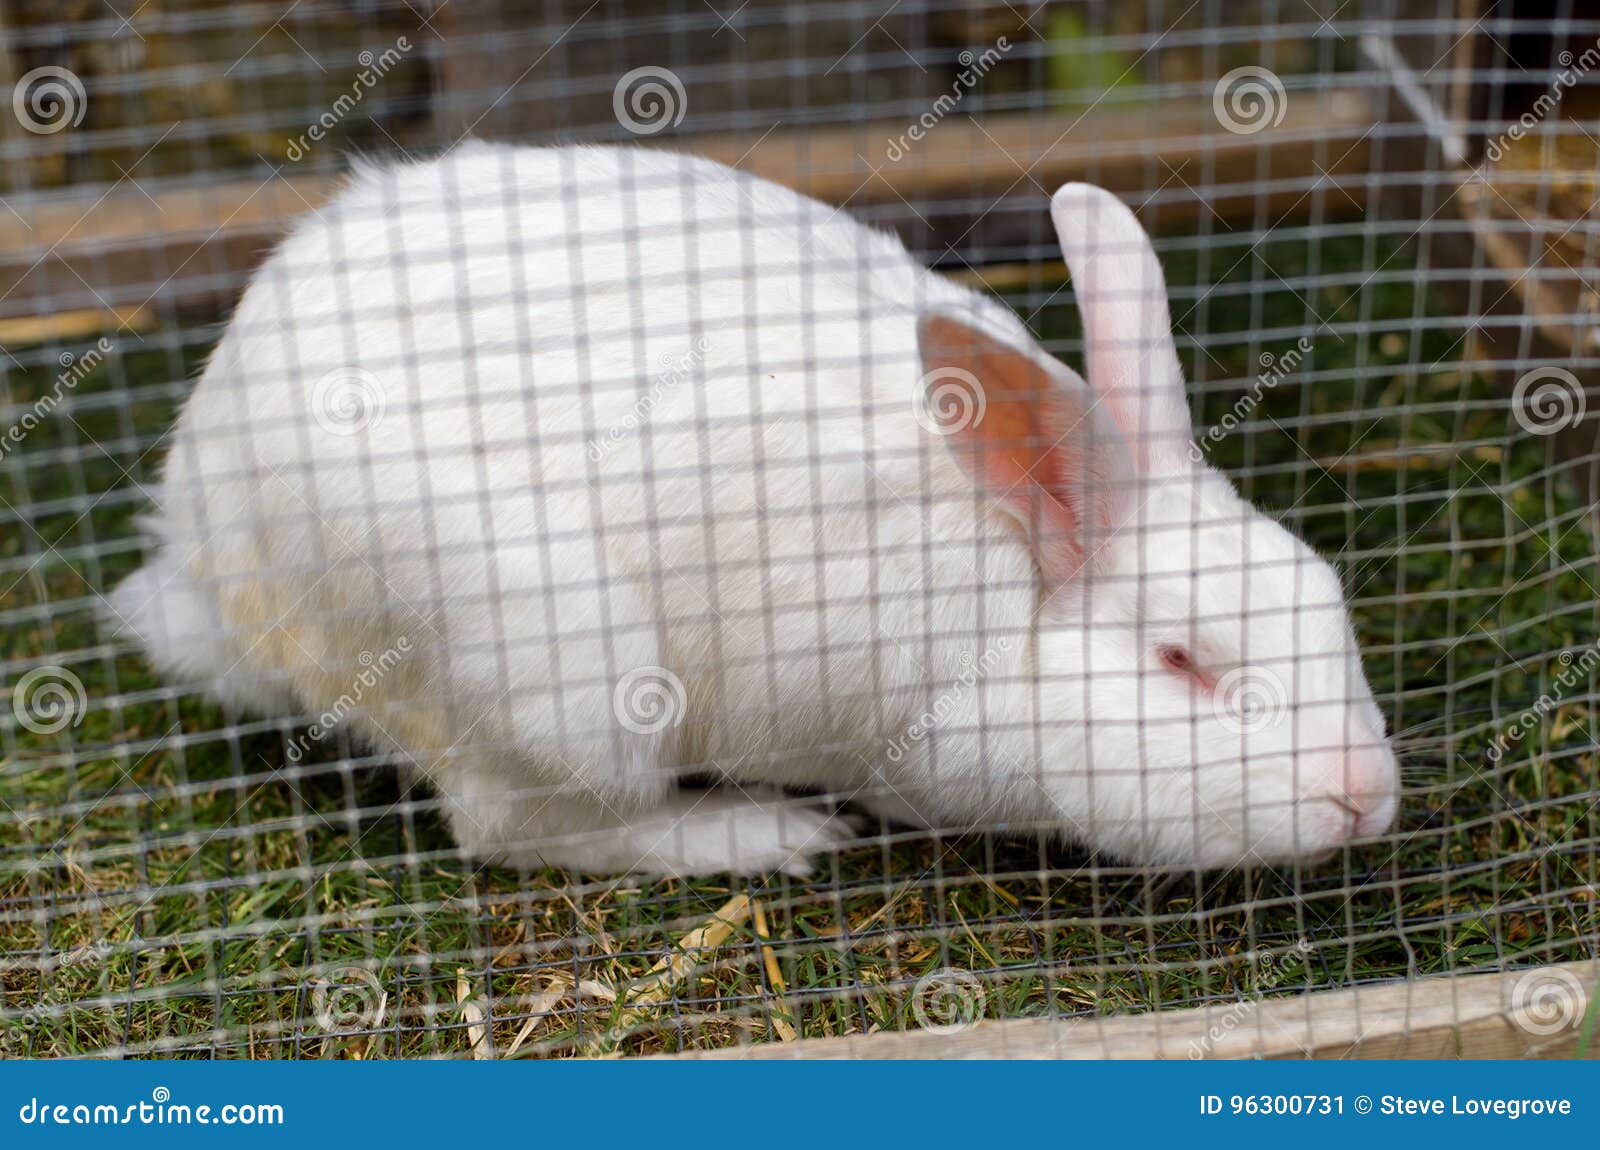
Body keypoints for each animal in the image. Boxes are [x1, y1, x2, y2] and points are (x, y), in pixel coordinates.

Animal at [107, 140, 1398, 877]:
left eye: (1330, 600)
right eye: (1183, 661)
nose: (1366, 798)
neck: (1029, 592)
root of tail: (208, 544)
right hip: (567, 675)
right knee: (520, 832)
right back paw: (759, 835)